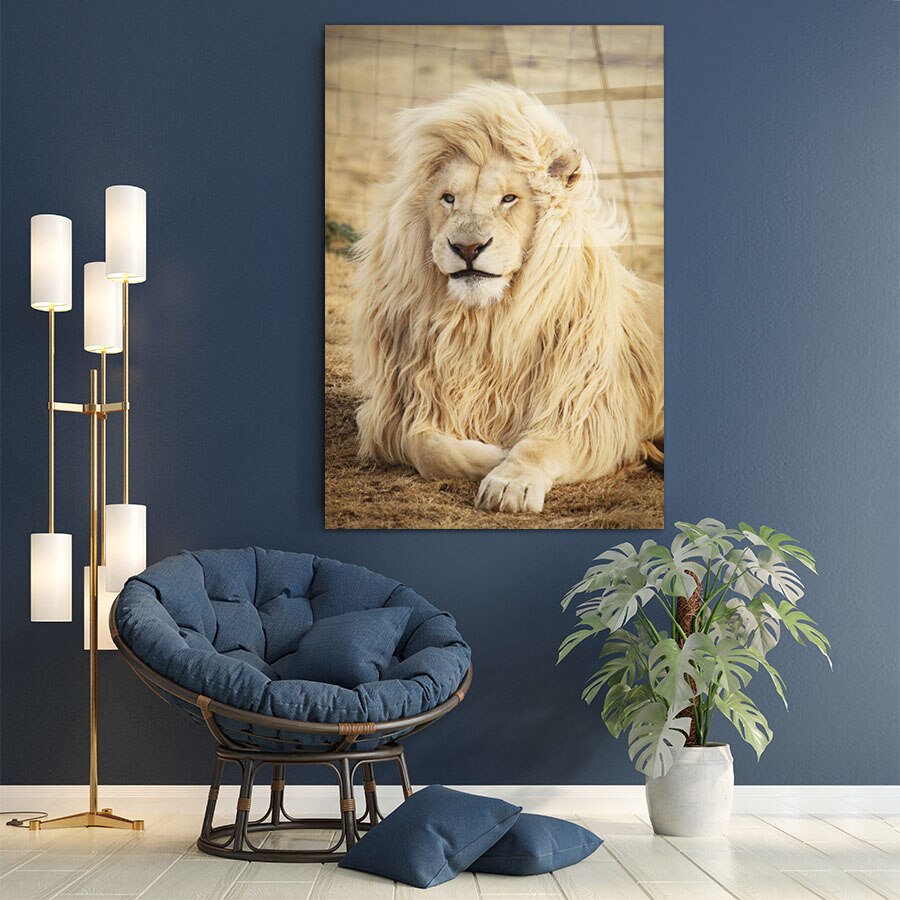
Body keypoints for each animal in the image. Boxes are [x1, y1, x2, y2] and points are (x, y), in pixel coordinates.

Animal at [350, 82, 663, 513]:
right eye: (448, 198)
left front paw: (509, 480)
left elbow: (538, 446)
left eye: (509, 199)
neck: (484, 323)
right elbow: (426, 446)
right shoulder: (401, 409)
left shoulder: (587, 413)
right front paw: (493, 454)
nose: (467, 248)